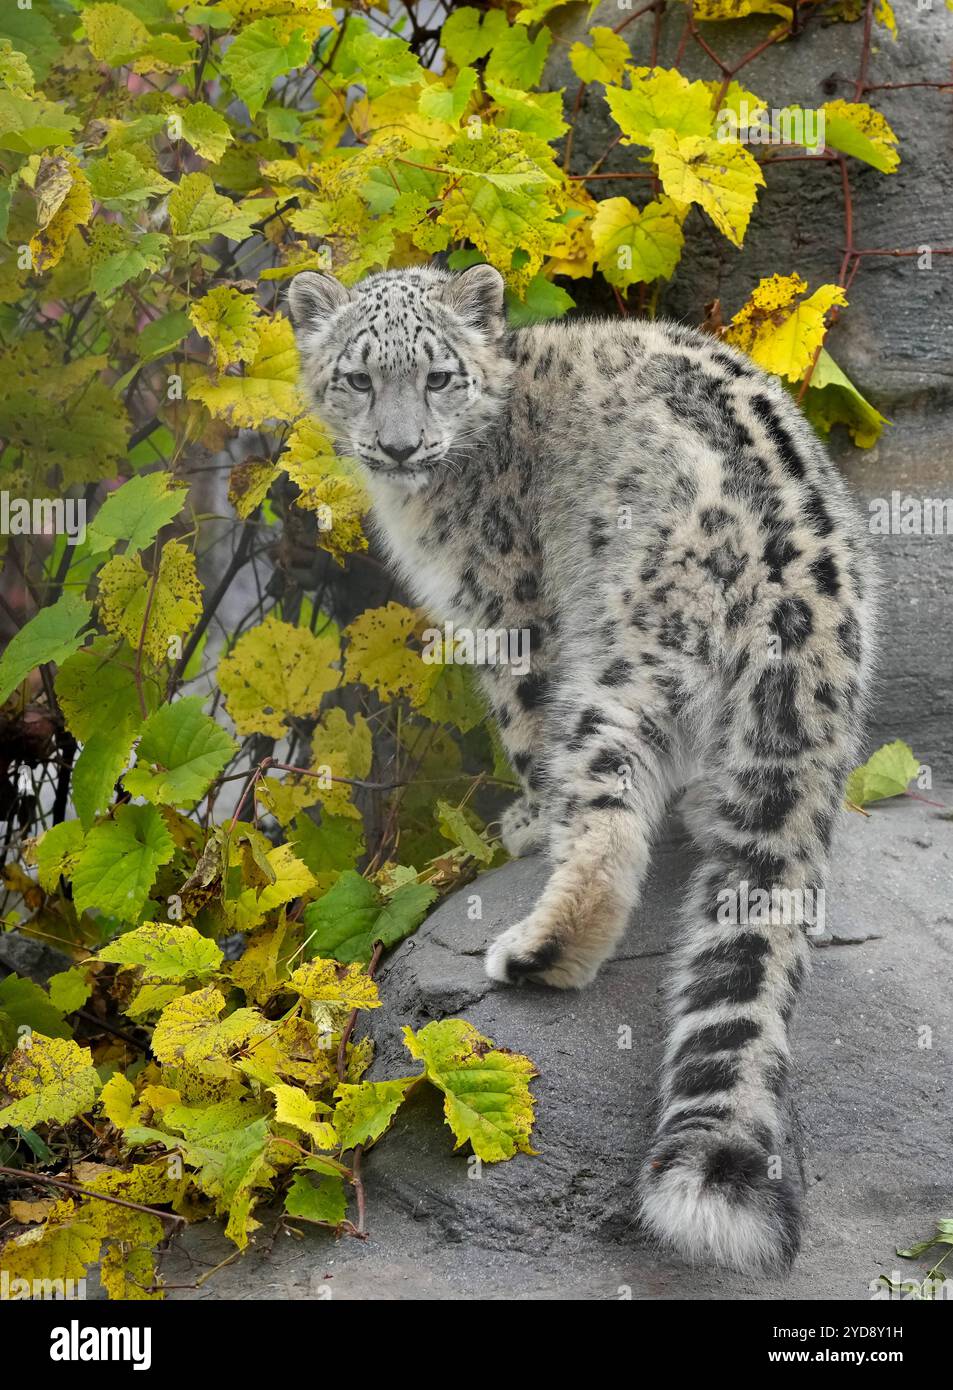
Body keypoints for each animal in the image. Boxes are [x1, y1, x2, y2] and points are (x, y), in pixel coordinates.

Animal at [288, 262, 876, 1276]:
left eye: (438, 376)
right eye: (357, 377)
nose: (399, 445)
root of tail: (799, 597)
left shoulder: (504, 604)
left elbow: (522, 717)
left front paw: (527, 815)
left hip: (624, 667)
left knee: (607, 827)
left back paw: (540, 948)